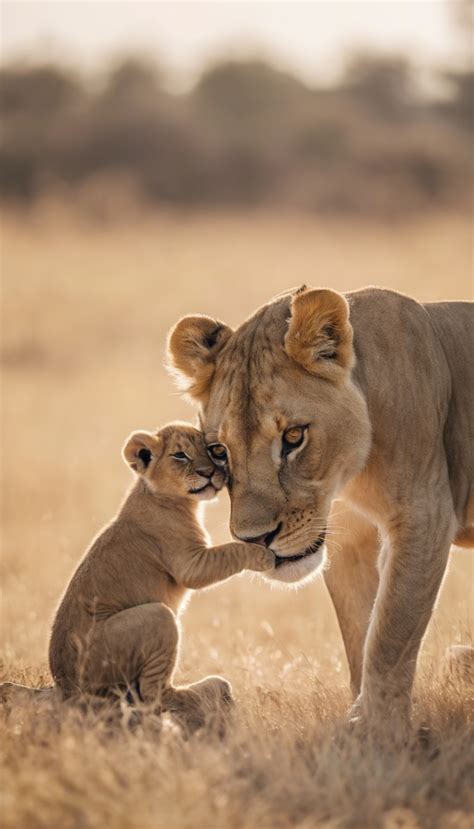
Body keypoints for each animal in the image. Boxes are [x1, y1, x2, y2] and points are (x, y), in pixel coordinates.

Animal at [3, 423, 273, 730]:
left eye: (211, 451)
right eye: (180, 455)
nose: (209, 473)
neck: (174, 499)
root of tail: (64, 688)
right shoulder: (190, 563)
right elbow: (230, 552)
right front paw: (263, 554)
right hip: (156, 618)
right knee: (155, 693)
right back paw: (206, 693)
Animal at [167, 286, 473, 733]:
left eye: (294, 436)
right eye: (219, 451)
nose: (256, 538)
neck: (349, 479)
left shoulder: (424, 515)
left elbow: (391, 632)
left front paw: (377, 731)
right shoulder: (350, 543)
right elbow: (361, 630)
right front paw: (365, 714)